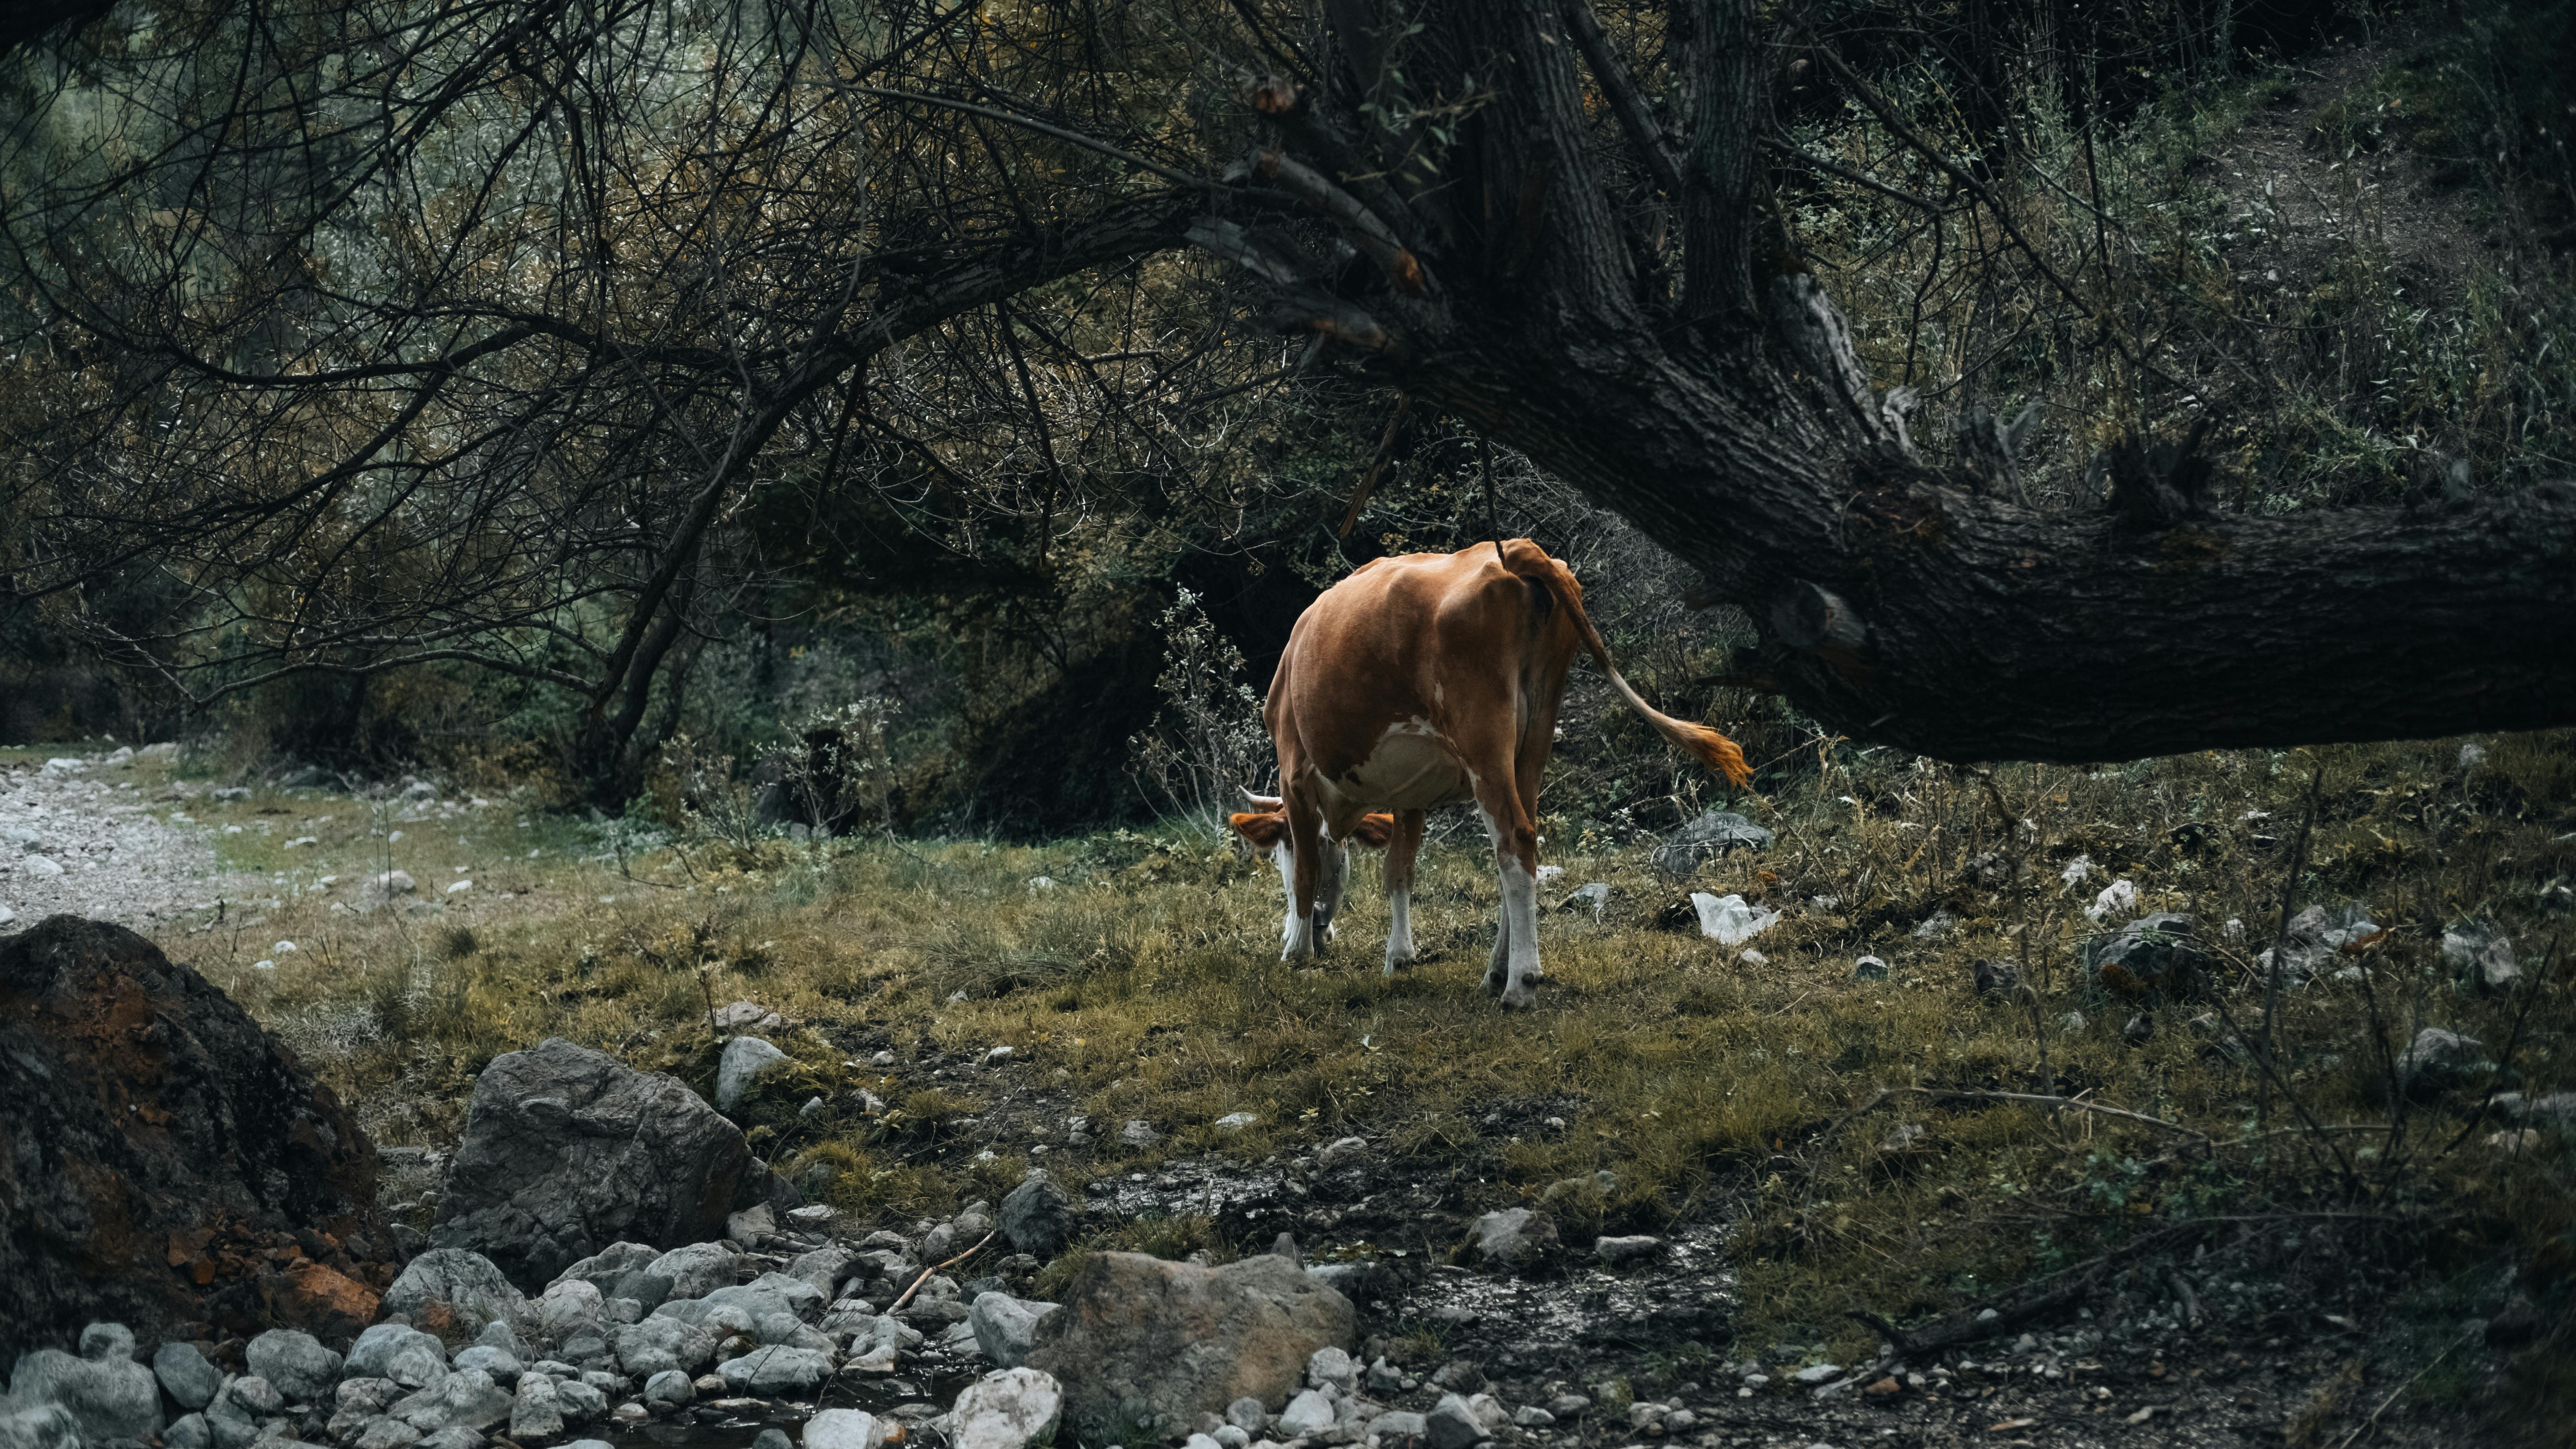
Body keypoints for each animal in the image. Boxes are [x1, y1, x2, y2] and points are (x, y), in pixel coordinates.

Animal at [1230, 538, 1752, 1008]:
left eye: (1278, 850)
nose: (1322, 931)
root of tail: (1517, 549)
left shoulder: (1294, 773)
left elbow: (1307, 873)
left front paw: (1295, 952)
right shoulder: (1410, 795)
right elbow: (1398, 871)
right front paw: (1398, 956)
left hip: (1483, 738)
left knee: (1514, 840)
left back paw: (1520, 982)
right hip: (1534, 735)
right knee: (1520, 845)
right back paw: (1497, 970)